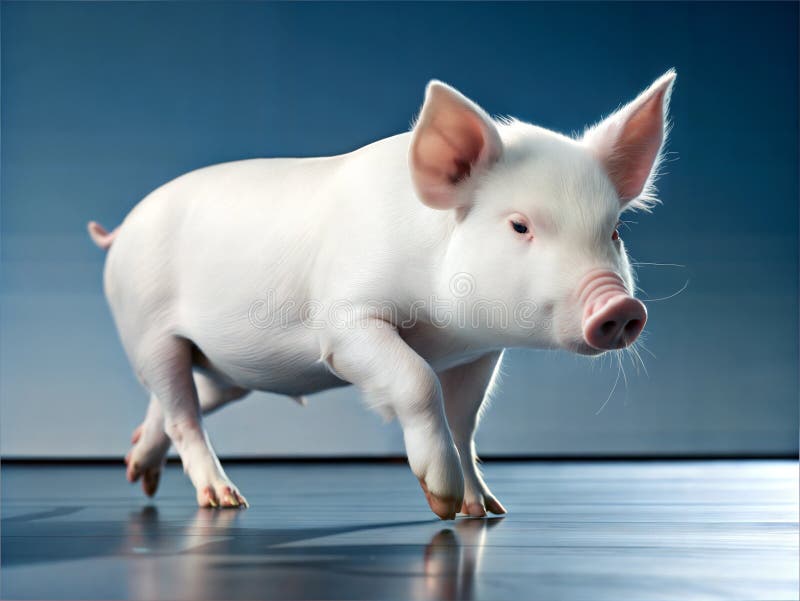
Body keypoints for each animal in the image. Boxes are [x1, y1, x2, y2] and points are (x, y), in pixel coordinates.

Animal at [88, 71, 675, 519]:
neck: (449, 331)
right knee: (182, 412)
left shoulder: (481, 351)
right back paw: (226, 501)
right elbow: (416, 381)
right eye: (520, 226)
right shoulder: (344, 323)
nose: (620, 306)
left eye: (614, 232)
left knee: (180, 400)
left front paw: (486, 511)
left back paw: (138, 469)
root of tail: (120, 231)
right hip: (146, 327)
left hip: (228, 369)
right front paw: (441, 503)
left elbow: (466, 421)